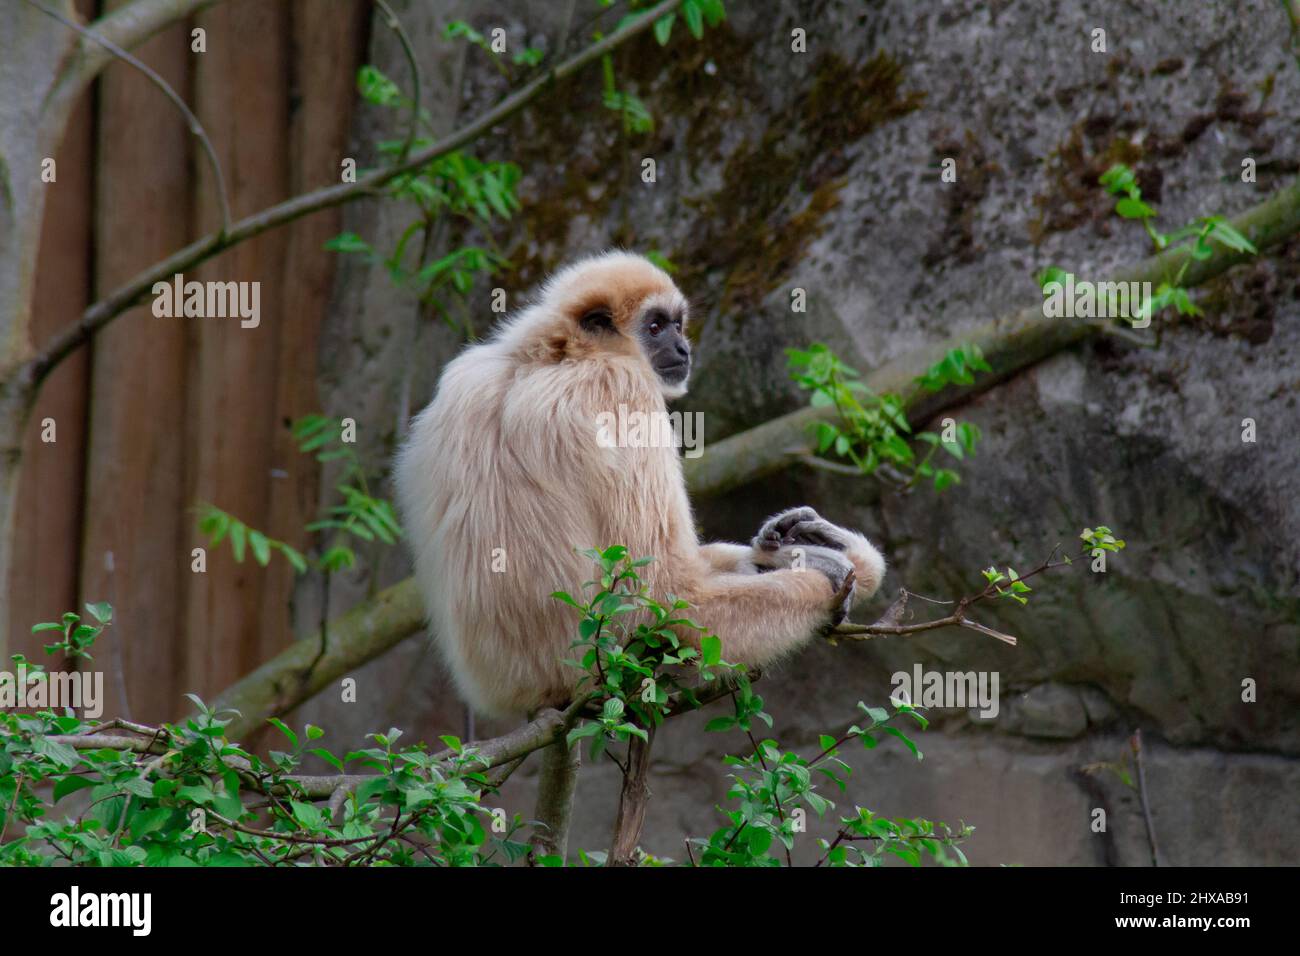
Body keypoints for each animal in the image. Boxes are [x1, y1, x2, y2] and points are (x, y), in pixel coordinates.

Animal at [395, 251, 885, 717]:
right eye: (655, 326)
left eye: (677, 324)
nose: (683, 347)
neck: (552, 353)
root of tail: (514, 692)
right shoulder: (622, 390)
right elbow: (668, 592)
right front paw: (826, 565)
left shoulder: (466, 373)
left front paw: (798, 545)